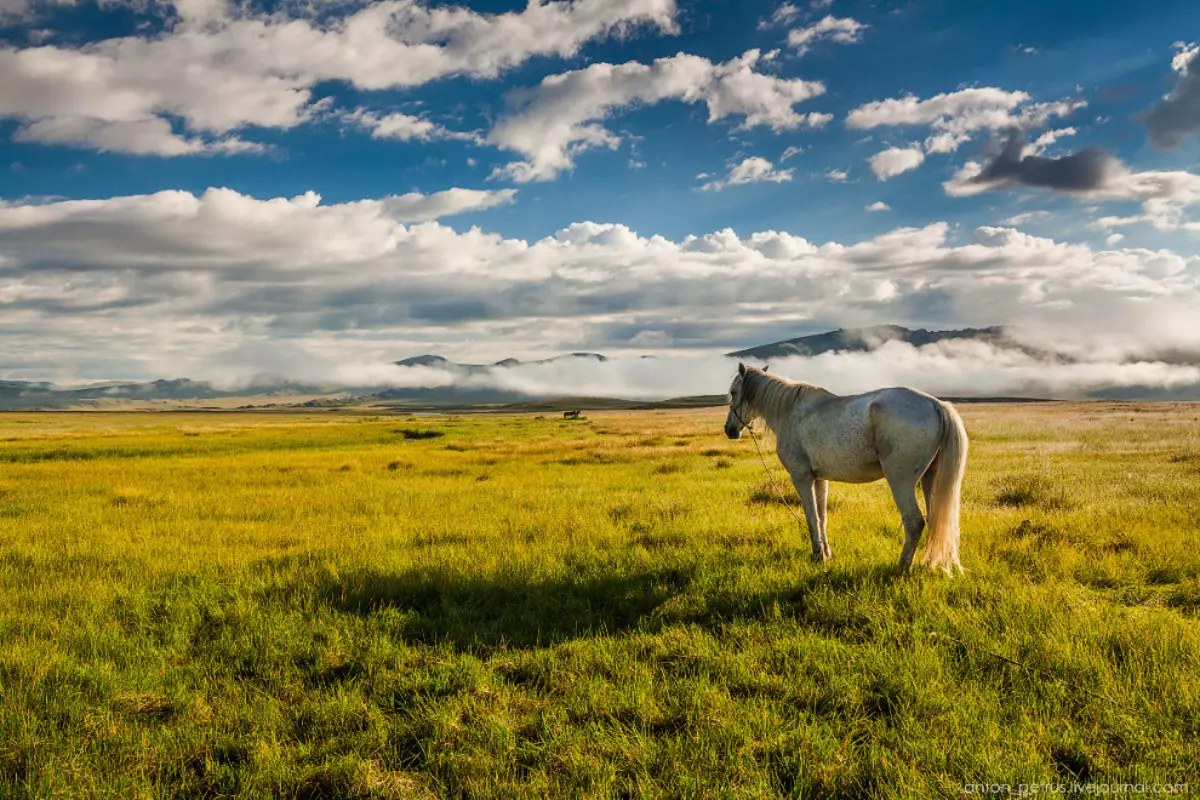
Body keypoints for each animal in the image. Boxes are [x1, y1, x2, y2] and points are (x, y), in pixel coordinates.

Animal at [720, 362, 964, 575]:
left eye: (733, 391)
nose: (729, 430)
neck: (790, 411)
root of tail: (936, 405)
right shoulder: (819, 479)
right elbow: (822, 516)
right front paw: (826, 553)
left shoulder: (801, 477)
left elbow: (811, 518)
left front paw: (817, 555)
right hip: (929, 479)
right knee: (934, 519)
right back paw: (928, 563)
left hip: (900, 482)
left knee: (914, 523)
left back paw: (902, 567)